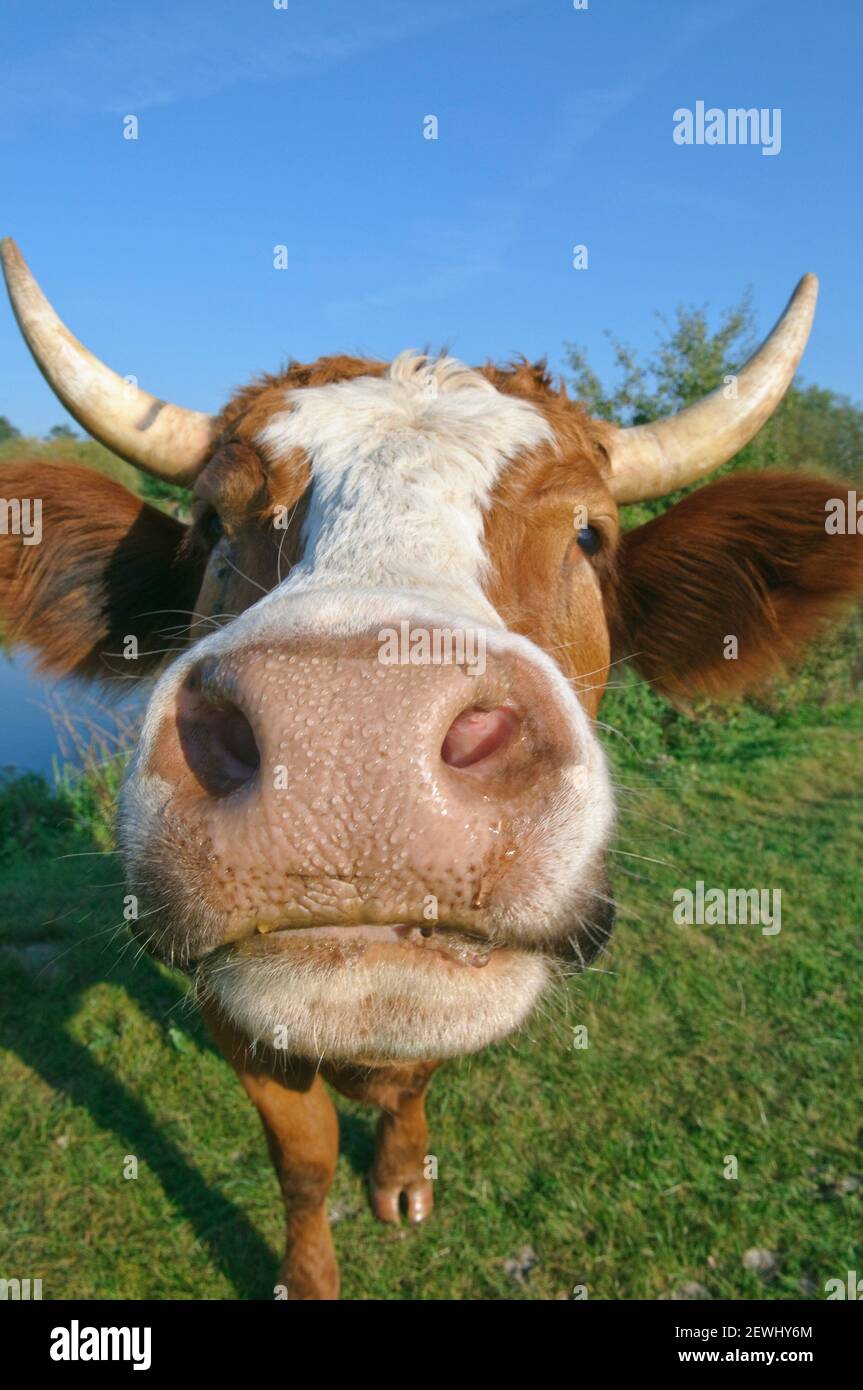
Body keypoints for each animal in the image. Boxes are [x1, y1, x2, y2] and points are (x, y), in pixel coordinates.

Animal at [1, 238, 861, 1299]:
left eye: (588, 534)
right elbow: (304, 1157)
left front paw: (402, 1180)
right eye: (211, 524)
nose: (350, 730)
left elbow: (410, 1089)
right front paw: (308, 1275)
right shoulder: (233, 1012)